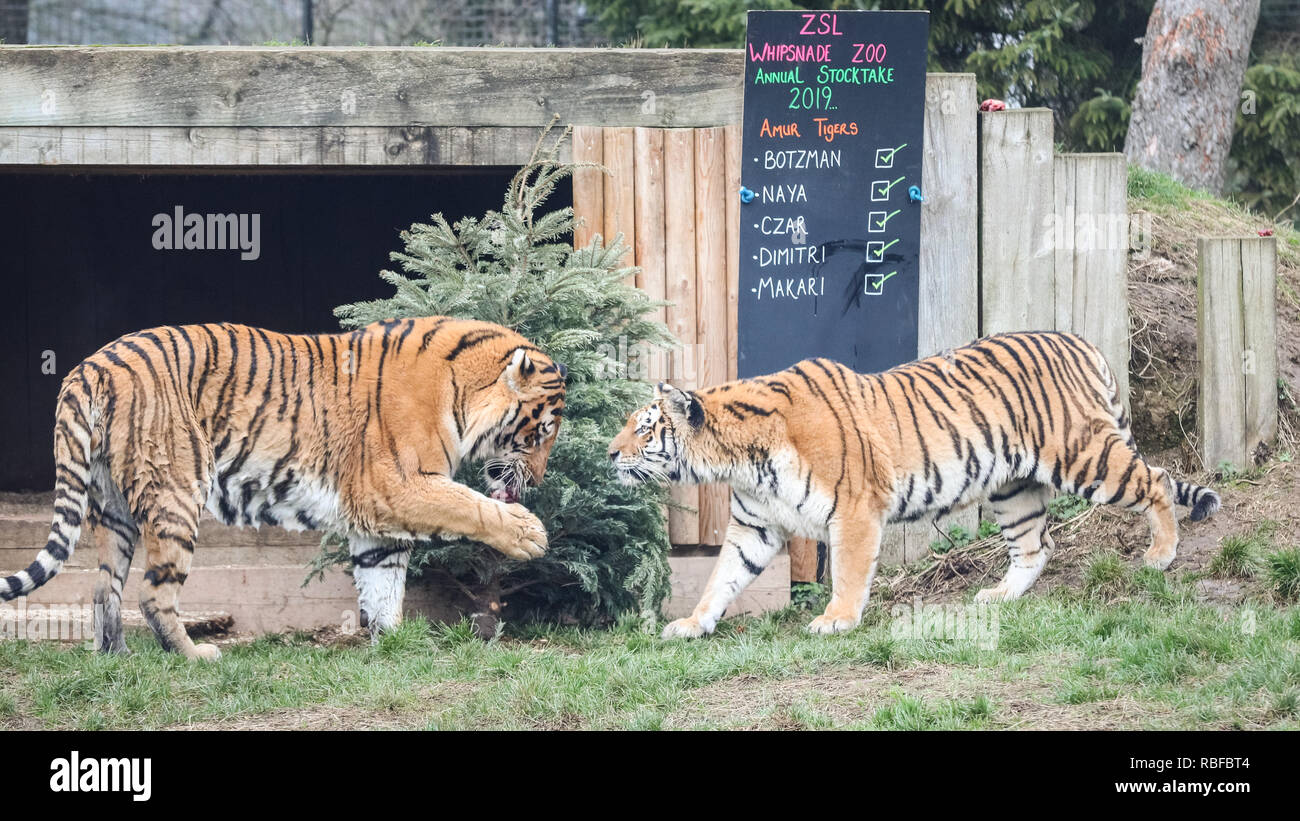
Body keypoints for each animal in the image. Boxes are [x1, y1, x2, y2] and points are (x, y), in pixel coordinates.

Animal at [1, 316, 566, 659]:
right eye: (540, 434)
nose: (537, 481)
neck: (463, 394)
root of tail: (90, 366)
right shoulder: (400, 484)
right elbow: (468, 506)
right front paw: (528, 534)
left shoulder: (378, 517)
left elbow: (383, 584)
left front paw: (394, 645)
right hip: (176, 490)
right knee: (152, 592)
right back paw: (194, 655)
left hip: (112, 505)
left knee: (104, 588)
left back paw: (114, 658)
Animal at [609, 331, 1220, 639]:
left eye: (644, 428)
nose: (610, 453)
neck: (739, 460)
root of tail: (1081, 342)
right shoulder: (752, 526)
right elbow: (723, 578)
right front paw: (692, 624)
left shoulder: (854, 510)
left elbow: (848, 572)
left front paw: (836, 620)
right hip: (1013, 488)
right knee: (1035, 547)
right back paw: (1000, 597)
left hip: (1084, 456)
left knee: (1158, 481)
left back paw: (1161, 555)